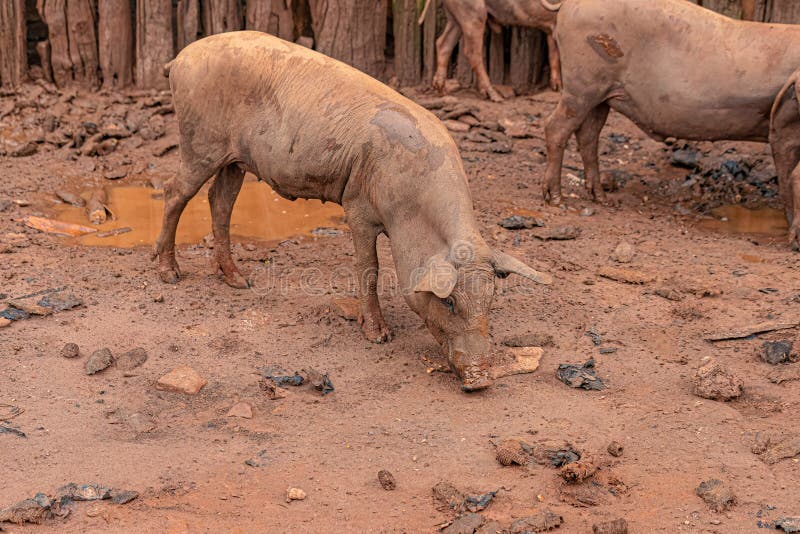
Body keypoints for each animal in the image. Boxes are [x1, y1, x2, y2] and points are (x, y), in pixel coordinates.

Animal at [153, 31, 552, 391]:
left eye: (491, 299)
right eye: (450, 303)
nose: (481, 380)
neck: (411, 212)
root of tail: (181, 58)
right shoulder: (357, 203)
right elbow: (369, 267)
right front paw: (379, 336)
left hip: (235, 159)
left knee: (219, 201)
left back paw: (239, 281)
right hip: (199, 142)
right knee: (174, 193)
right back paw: (170, 275)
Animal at [418, 0, 563, 102]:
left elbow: (554, 54)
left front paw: (557, 87)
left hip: (455, 18)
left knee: (442, 43)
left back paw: (442, 91)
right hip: (474, 16)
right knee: (472, 52)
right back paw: (495, 96)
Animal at [541, 0, 800, 249]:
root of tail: (567, 5)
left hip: (601, 95)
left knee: (588, 135)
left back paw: (601, 198)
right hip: (582, 85)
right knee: (555, 128)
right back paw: (556, 200)